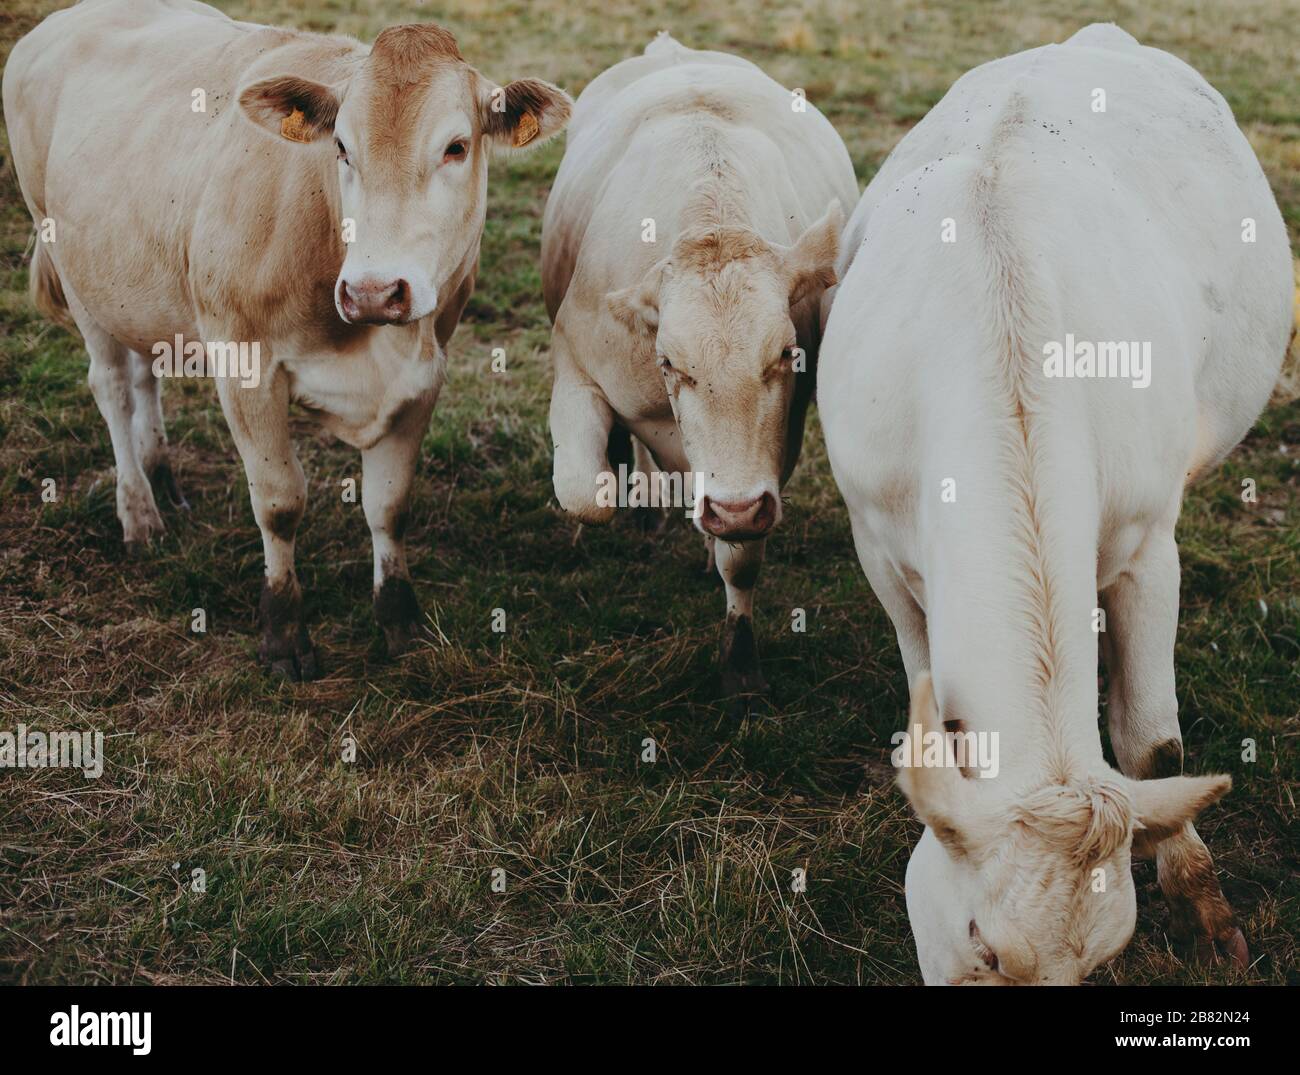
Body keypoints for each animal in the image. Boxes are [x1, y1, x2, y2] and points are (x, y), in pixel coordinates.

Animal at [4, 0, 572, 678]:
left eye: (457, 147)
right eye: (342, 147)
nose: (375, 291)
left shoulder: (424, 372)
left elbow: (389, 504)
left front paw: (399, 619)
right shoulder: (246, 365)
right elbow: (278, 502)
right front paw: (282, 632)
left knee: (144, 373)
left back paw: (161, 476)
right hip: (74, 270)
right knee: (112, 386)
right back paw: (139, 512)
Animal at [541, 32, 857, 708]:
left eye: (787, 354)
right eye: (668, 361)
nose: (729, 509)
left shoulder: (771, 458)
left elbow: (742, 554)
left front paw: (740, 663)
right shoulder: (577, 364)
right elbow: (586, 494)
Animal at [818, 24, 1292, 983]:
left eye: (1105, 955)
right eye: (983, 944)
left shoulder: (1149, 543)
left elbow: (1154, 745)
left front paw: (1203, 900)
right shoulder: (877, 546)